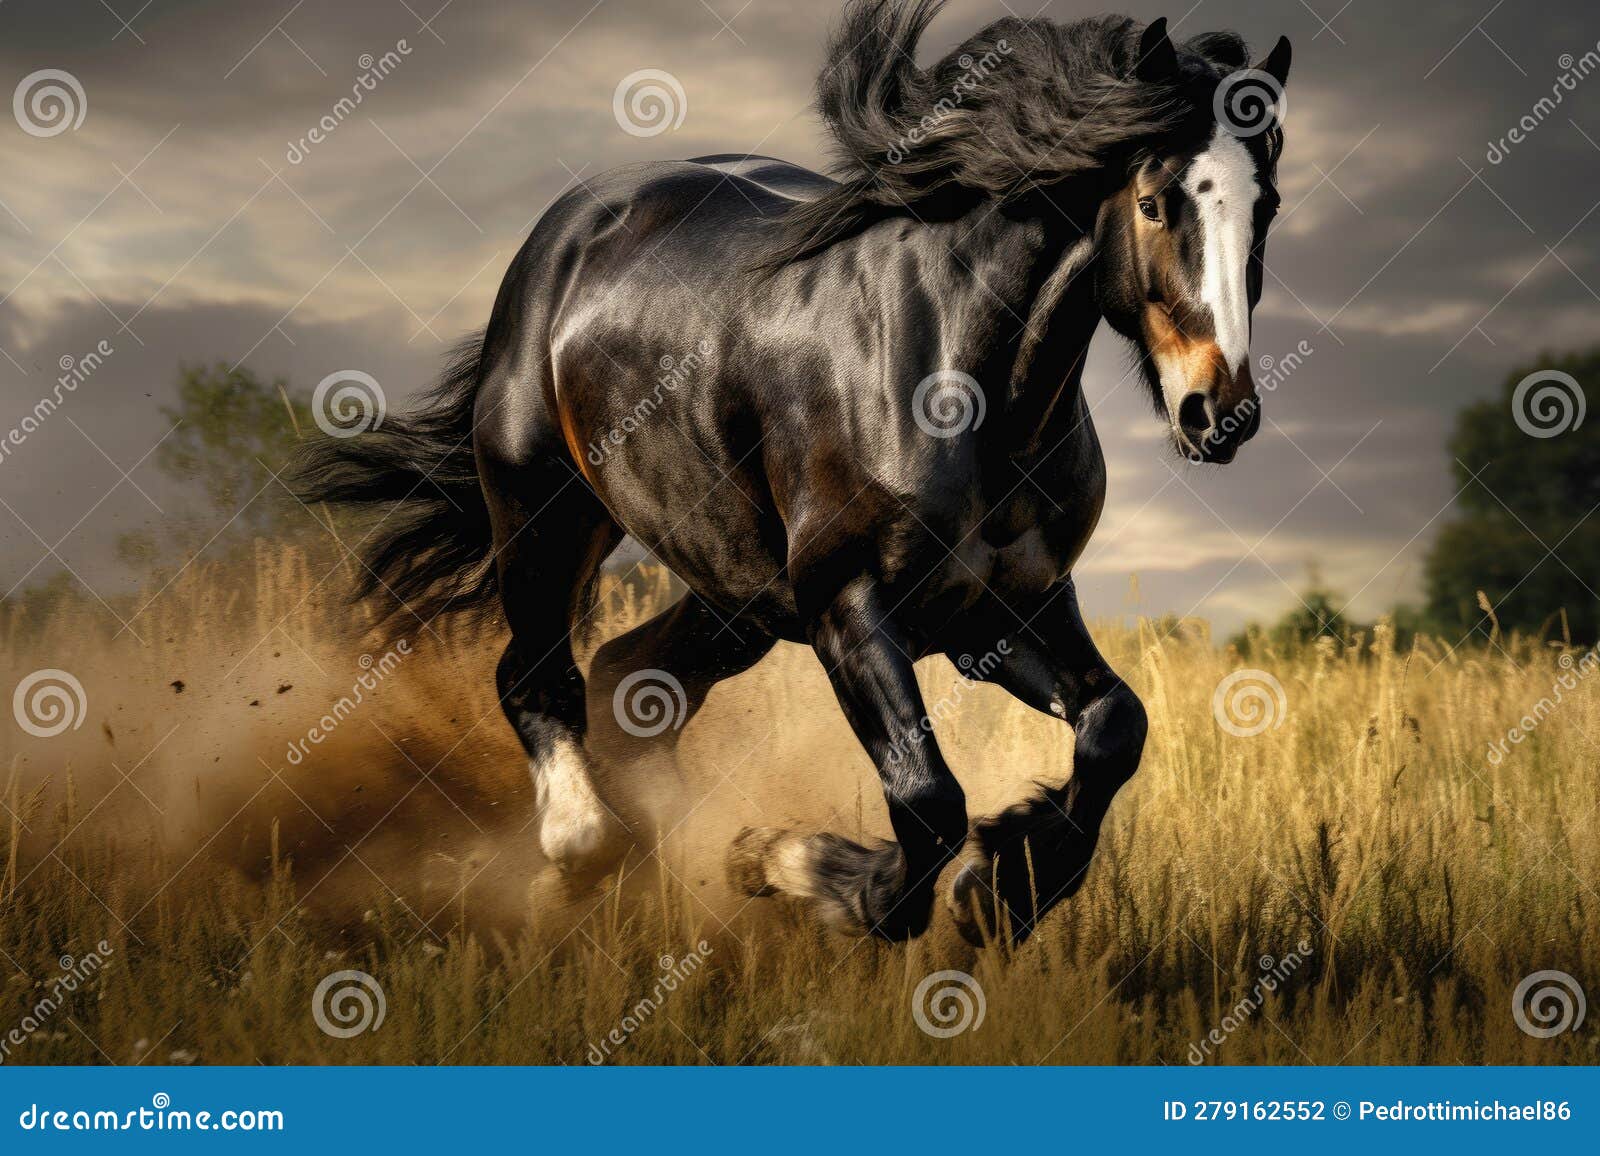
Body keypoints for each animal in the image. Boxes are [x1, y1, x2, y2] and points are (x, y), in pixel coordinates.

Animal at [296, 0, 1292, 946]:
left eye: (1269, 206)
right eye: (1156, 202)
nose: (1219, 412)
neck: (959, 378)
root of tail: (562, 238)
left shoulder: (1008, 610)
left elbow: (1114, 729)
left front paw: (1001, 886)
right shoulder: (847, 606)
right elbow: (927, 803)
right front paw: (785, 862)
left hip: (735, 593)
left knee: (627, 684)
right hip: (548, 519)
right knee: (535, 680)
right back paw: (582, 861)